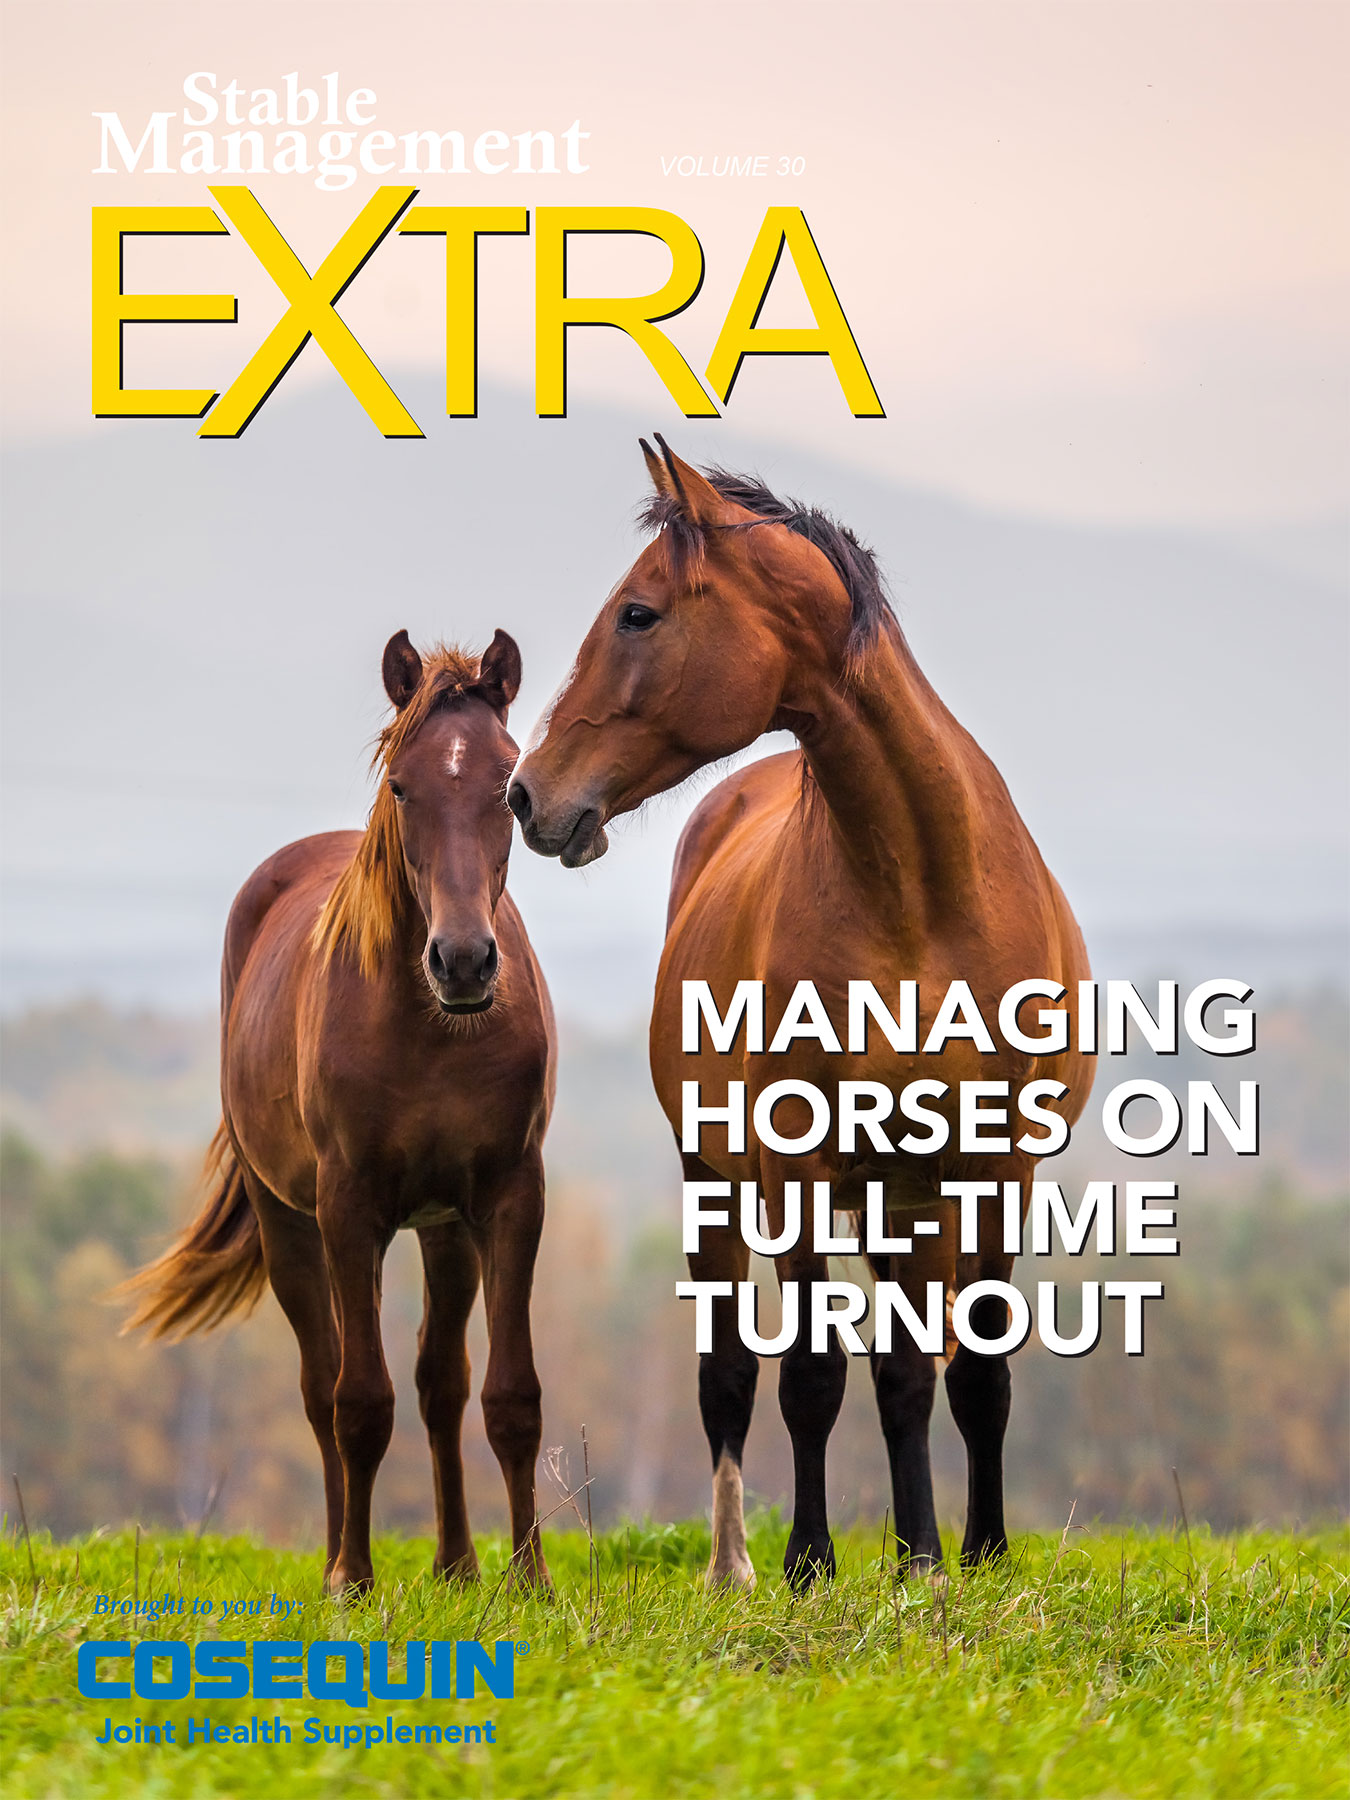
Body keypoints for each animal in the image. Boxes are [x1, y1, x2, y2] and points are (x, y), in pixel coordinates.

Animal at [122, 629, 556, 1595]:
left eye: (507, 782)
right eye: (402, 785)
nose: (463, 961)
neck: (432, 1031)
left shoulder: (509, 1197)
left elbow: (508, 1394)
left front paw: (530, 1584)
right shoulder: (349, 1208)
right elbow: (358, 1402)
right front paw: (353, 1581)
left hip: (441, 1229)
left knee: (440, 1384)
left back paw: (458, 1565)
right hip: (292, 1225)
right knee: (322, 1385)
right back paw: (334, 1563)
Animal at [508, 437, 1092, 1588]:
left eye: (638, 614)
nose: (527, 794)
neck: (924, 894)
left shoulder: (989, 1169)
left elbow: (960, 1369)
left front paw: (957, 1557)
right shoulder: (799, 1167)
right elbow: (815, 1375)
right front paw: (816, 1563)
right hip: (724, 1181)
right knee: (731, 1374)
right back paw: (735, 1563)